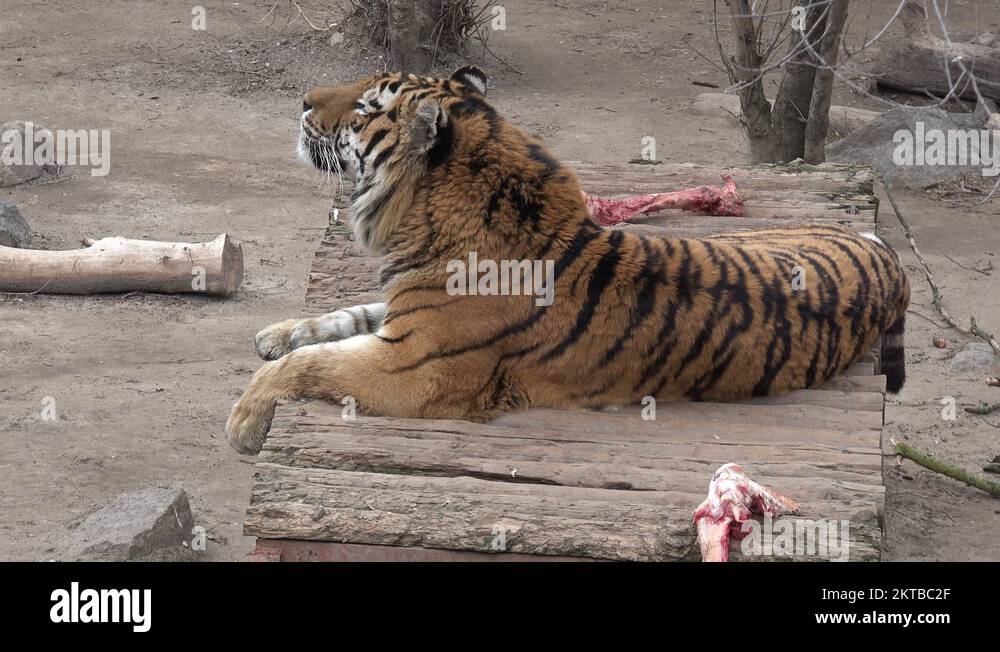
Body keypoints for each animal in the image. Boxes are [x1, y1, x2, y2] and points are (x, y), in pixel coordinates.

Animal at [226, 64, 910, 455]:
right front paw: (279, 332)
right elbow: (343, 318)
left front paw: (245, 421)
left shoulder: (416, 367)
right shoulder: (403, 317)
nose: (302, 100)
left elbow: (313, 365)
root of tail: (889, 260)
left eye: (368, 106)